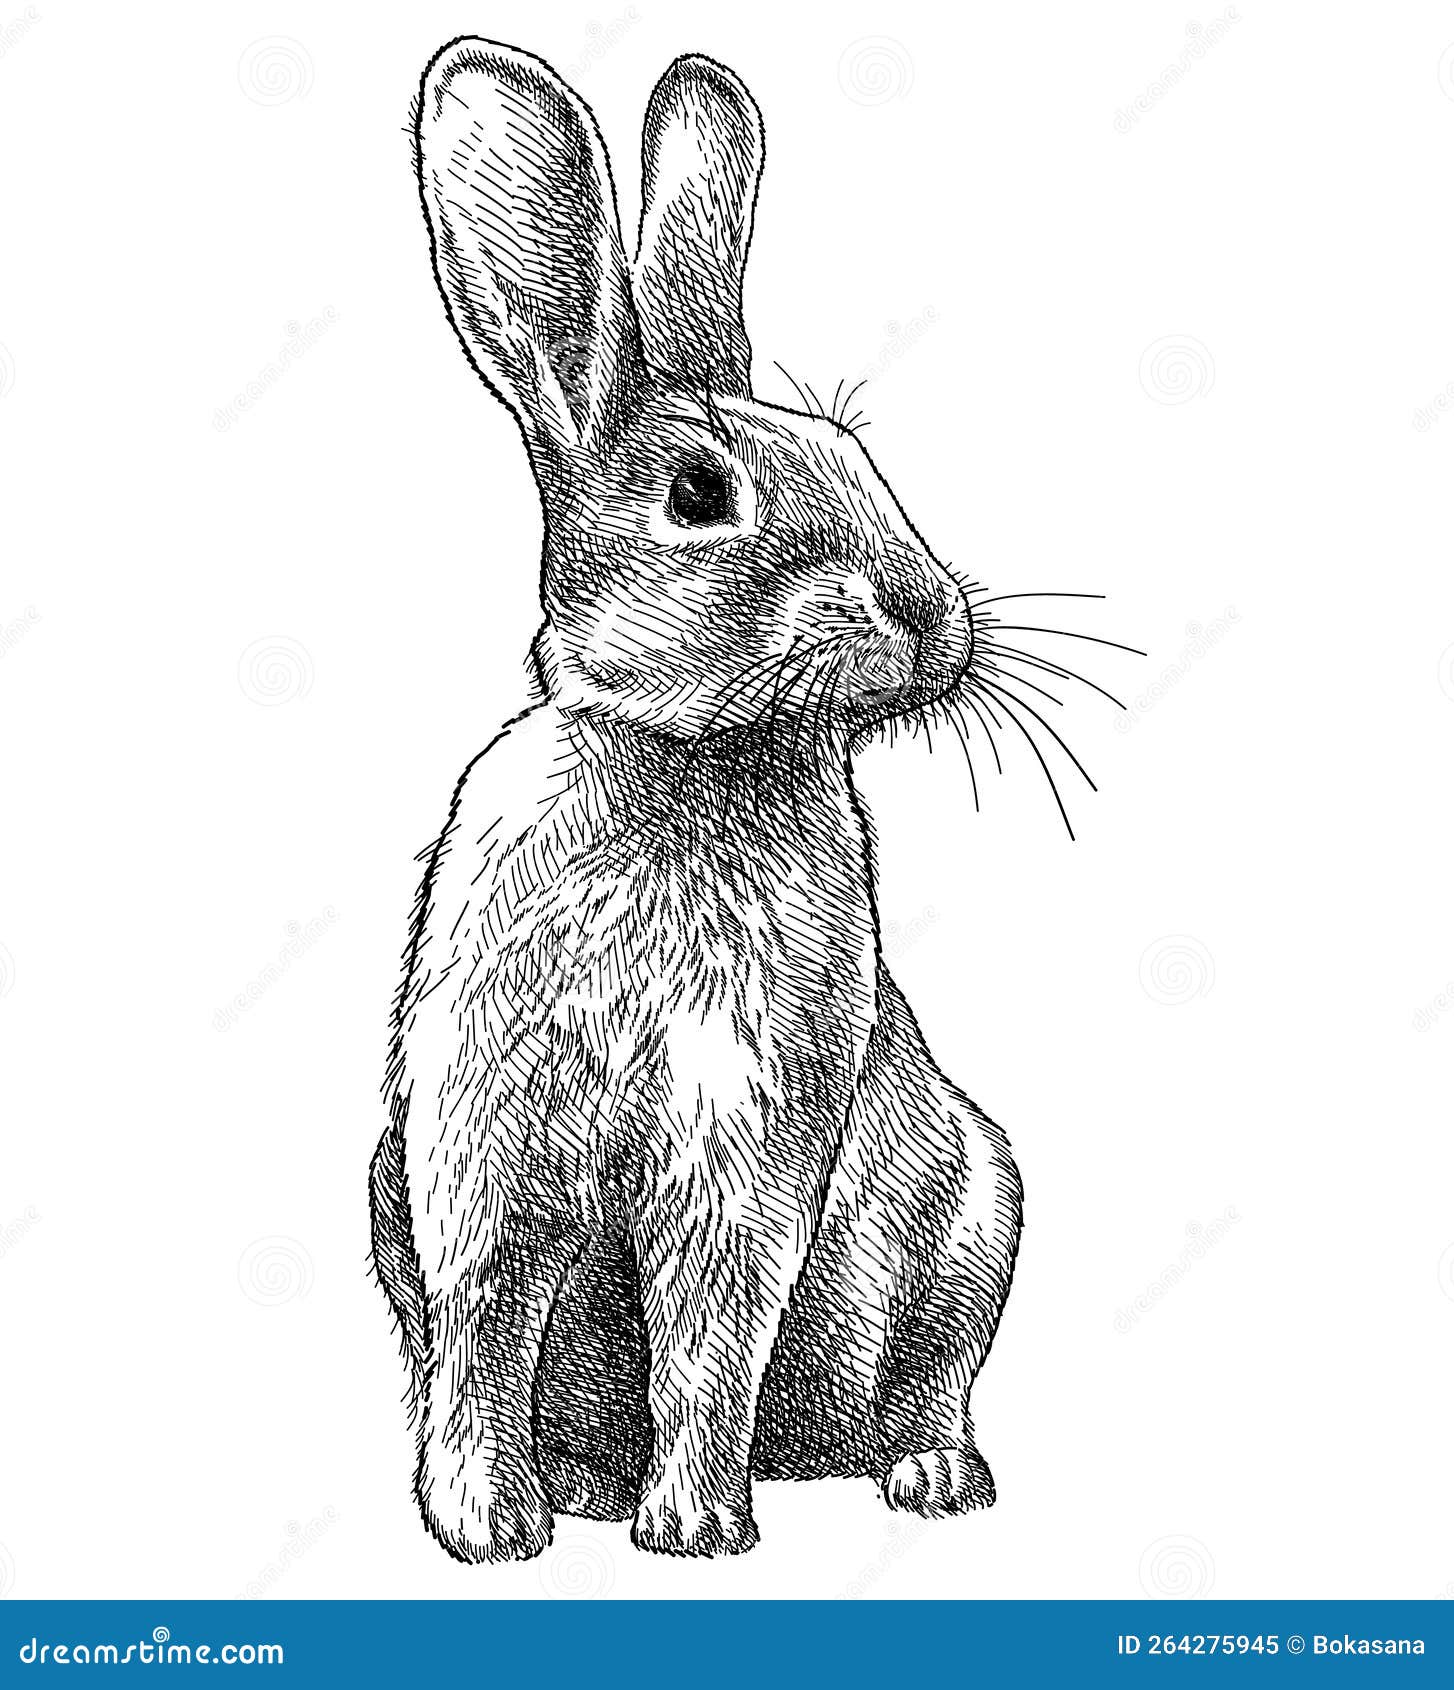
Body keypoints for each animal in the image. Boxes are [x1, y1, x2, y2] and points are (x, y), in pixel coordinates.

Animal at [369, 36, 1023, 1563]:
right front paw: (486, 1525)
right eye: (694, 492)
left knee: (932, 1379)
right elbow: (484, 1324)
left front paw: (695, 1528)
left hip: (978, 1212)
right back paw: (582, 1486)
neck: (687, 756)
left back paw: (927, 1476)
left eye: (856, 452)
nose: (926, 612)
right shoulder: (476, 1143)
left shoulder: (746, 1149)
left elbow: (712, 1333)